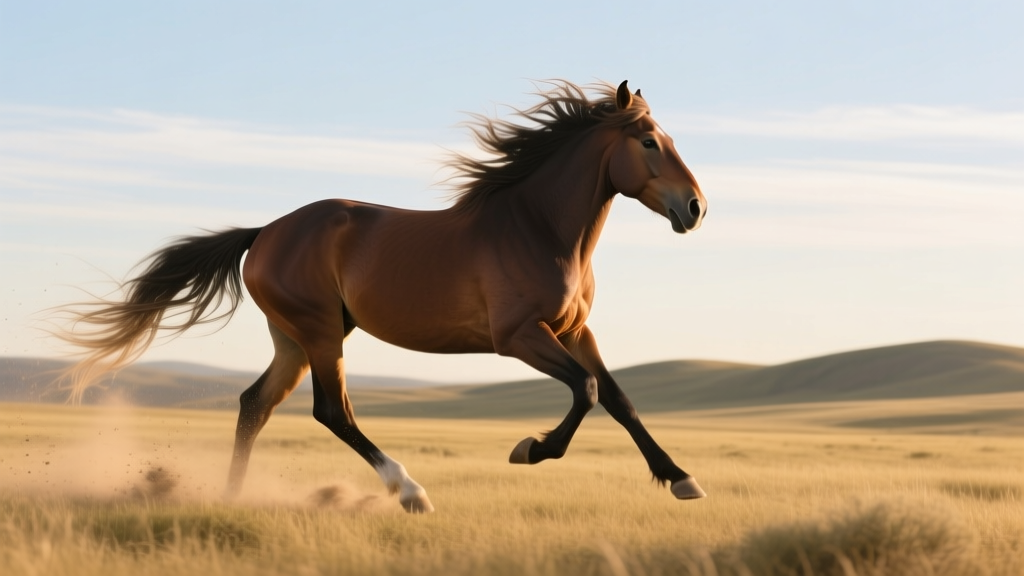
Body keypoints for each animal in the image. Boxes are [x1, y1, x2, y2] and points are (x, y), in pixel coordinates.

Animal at [57, 80, 707, 513]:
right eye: (649, 142)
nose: (695, 207)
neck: (536, 228)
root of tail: (264, 232)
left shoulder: (575, 330)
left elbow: (619, 398)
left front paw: (680, 478)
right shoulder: (519, 336)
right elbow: (587, 389)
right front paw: (529, 449)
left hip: (298, 338)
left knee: (254, 405)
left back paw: (231, 497)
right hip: (320, 332)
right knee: (332, 411)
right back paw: (410, 491)